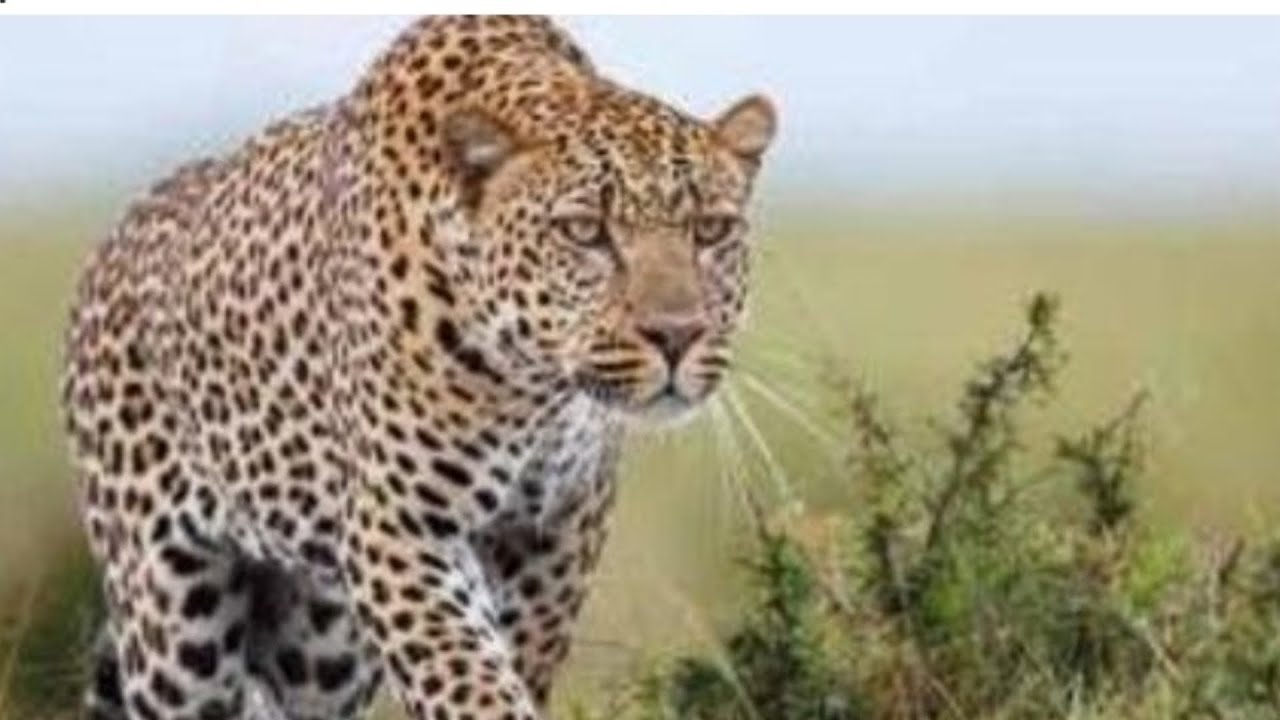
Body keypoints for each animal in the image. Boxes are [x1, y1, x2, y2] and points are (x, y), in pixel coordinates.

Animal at [61, 15, 775, 720]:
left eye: (711, 230)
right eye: (584, 231)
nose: (677, 335)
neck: (531, 385)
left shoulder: (558, 530)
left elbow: (516, 658)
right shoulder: (401, 530)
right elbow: (466, 675)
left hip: (319, 644)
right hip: (175, 628)